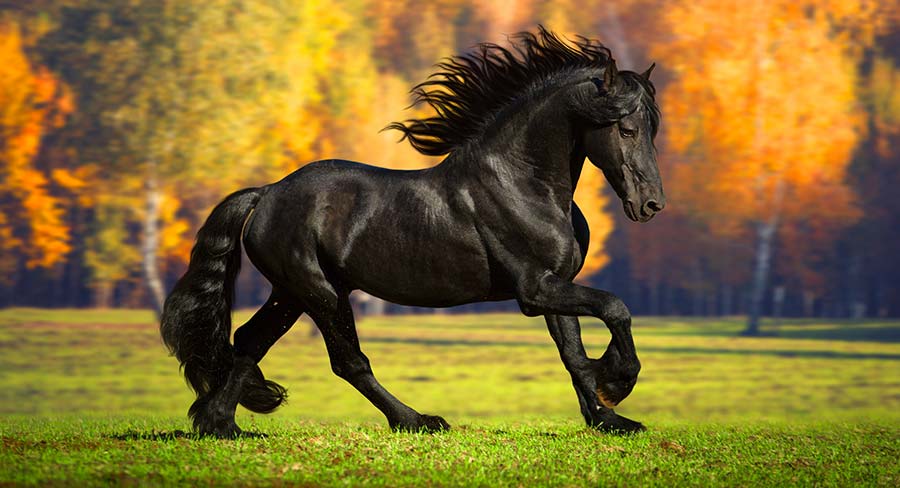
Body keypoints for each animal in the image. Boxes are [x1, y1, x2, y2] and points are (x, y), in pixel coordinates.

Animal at [160, 27, 664, 438]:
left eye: (650, 130)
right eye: (626, 128)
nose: (651, 205)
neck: (521, 183)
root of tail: (266, 194)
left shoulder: (554, 285)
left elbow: (572, 353)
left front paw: (609, 418)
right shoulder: (534, 289)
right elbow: (614, 308)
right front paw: (617, 380)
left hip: (291, 292)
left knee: (249, 342)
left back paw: (219, 424)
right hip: (320, 293)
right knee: (348, 361)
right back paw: (418, 420)